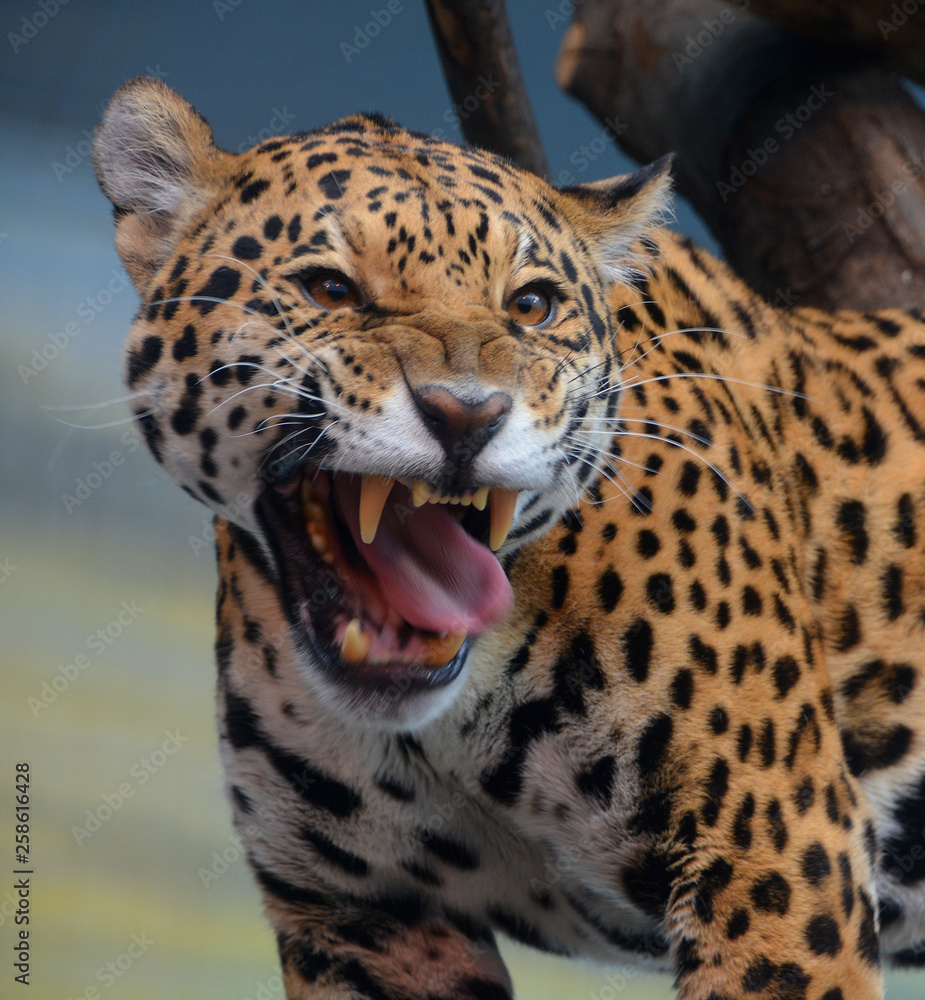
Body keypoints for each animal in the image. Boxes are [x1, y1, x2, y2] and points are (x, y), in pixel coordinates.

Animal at [92, 77, 925, 999]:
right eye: (328, 290)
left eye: (530, 305)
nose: (466, 412)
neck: (449, 727)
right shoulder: (361, 913)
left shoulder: (772, 850)